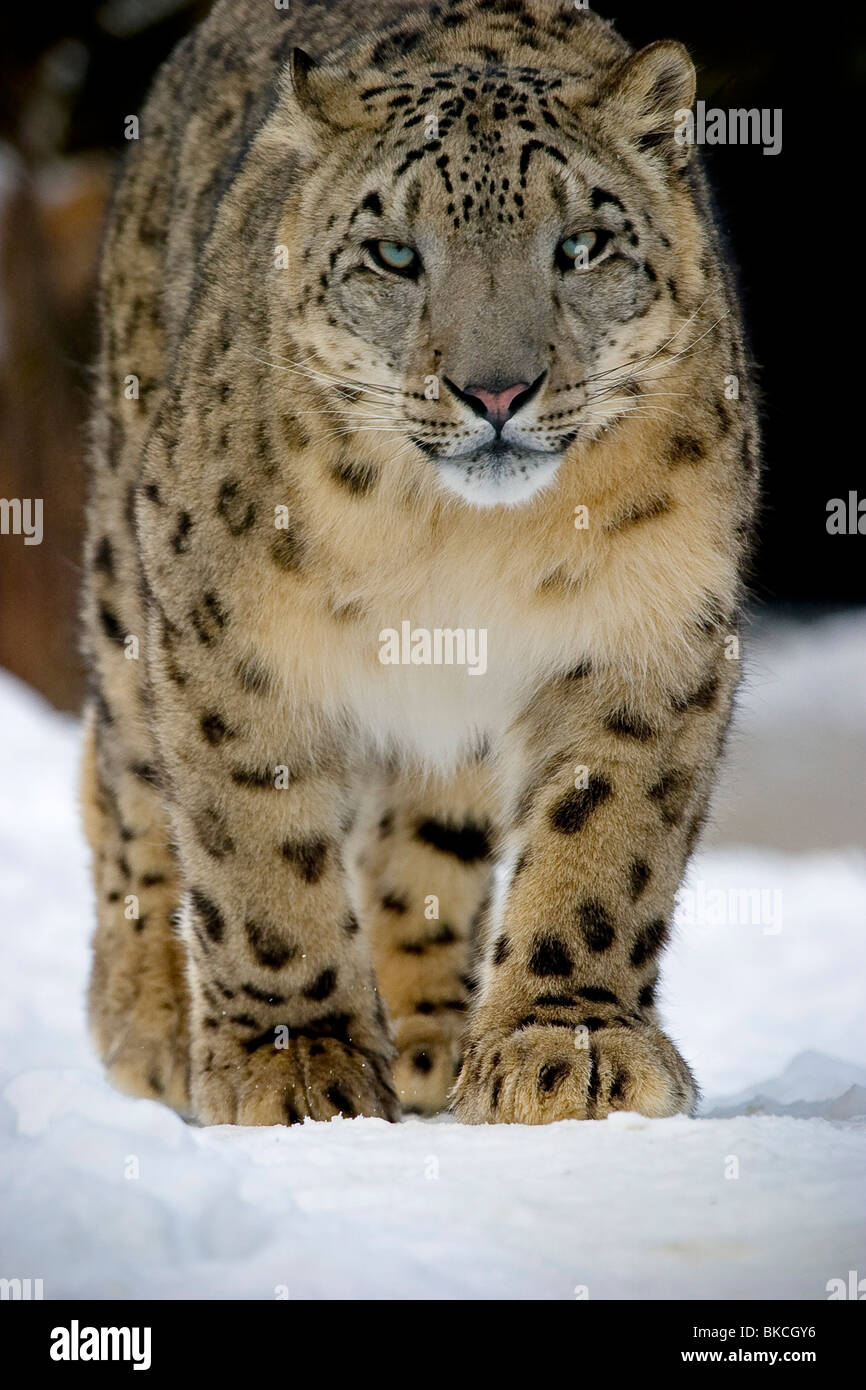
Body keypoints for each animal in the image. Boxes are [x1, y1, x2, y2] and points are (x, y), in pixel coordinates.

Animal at [80, 0, 759, 1127]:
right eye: (394, 255)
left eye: (580, 245)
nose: (496, 390)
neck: (463, 543)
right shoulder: (232, 637)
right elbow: (256, 847)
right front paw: (294, 1063)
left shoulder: (648, 630)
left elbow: (602, 841)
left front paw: (566, 1049)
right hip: (126, 581)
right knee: (124, 780)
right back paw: (149, 1027)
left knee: (424, 846)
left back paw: (434, 1042)